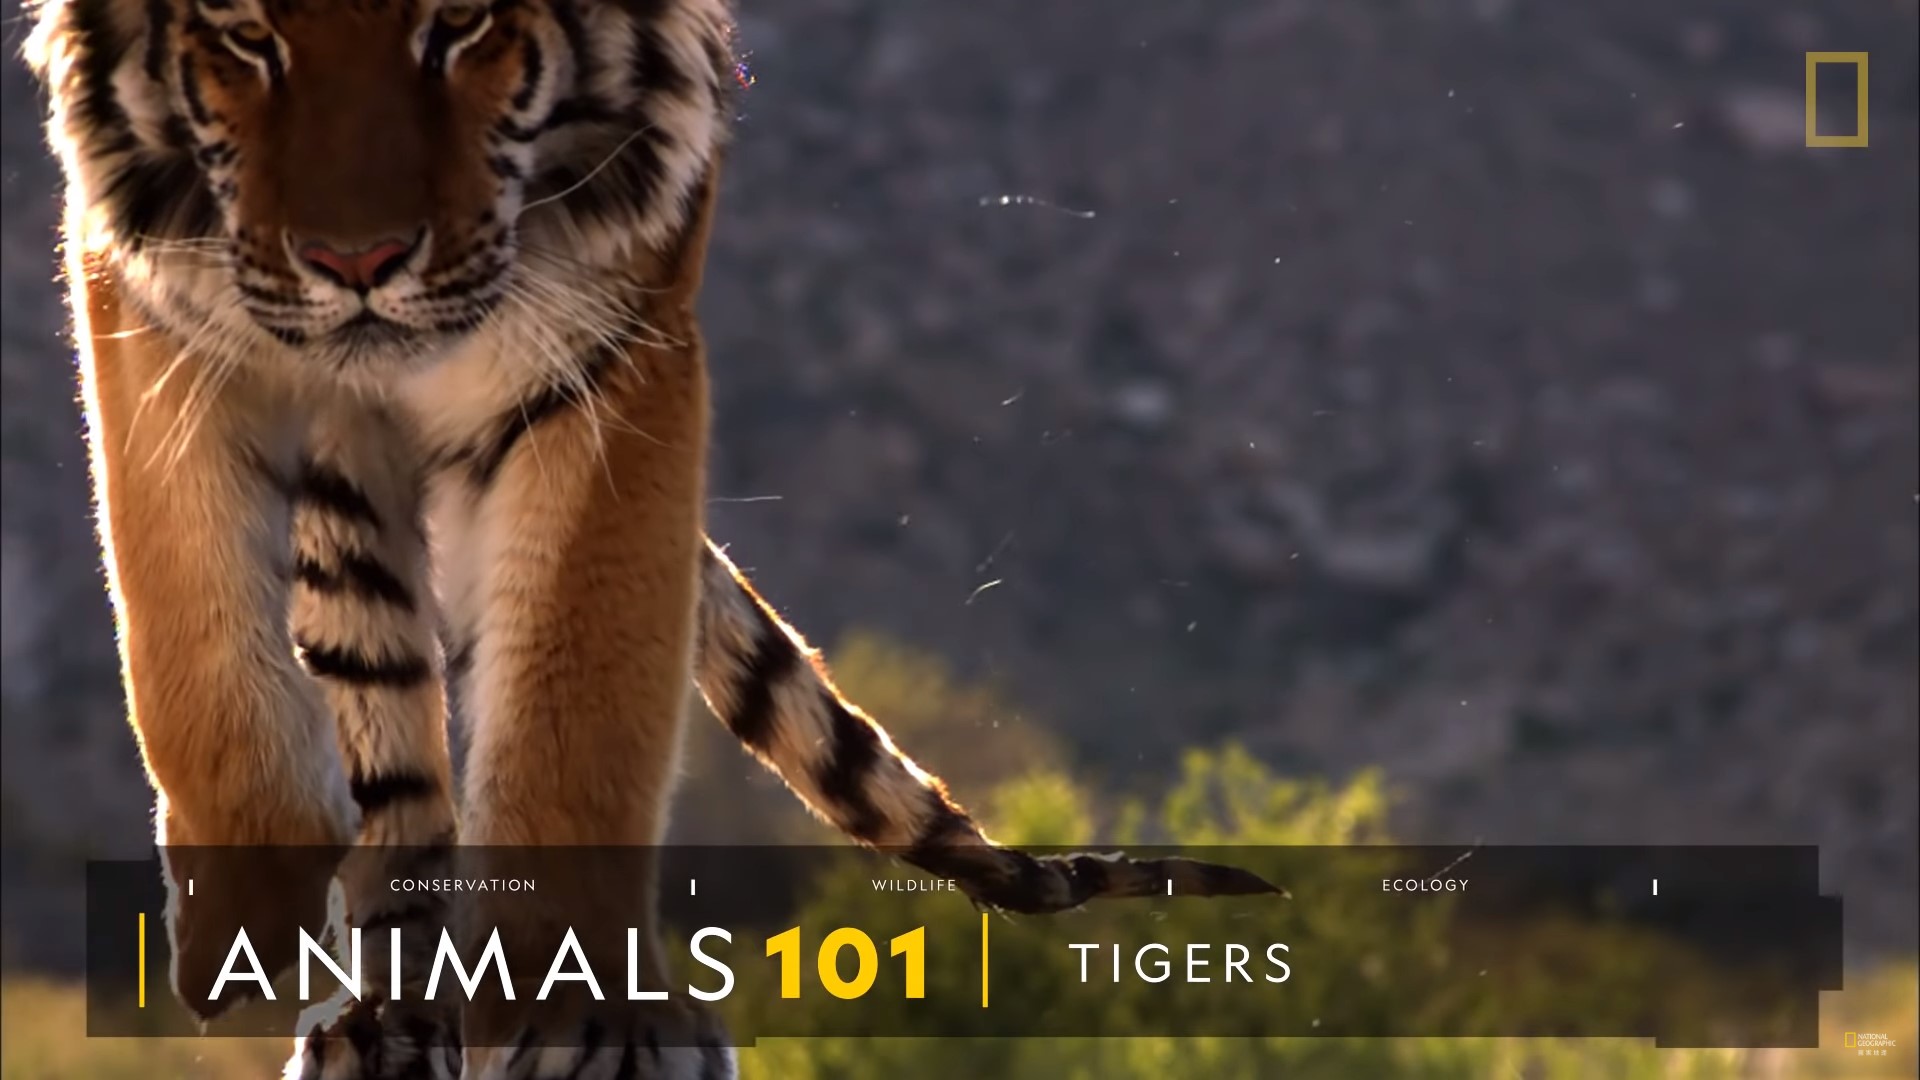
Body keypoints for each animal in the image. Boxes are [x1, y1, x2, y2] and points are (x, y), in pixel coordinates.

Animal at [22, 0, 1278, 1076]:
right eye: (245, 37)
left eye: (461, 25)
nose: (356, 265)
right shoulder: (142, 282)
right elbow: (174, 604)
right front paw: (239, 923)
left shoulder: (614, 339)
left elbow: (572, 714)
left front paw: (578, 1021)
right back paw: (374, 1016)